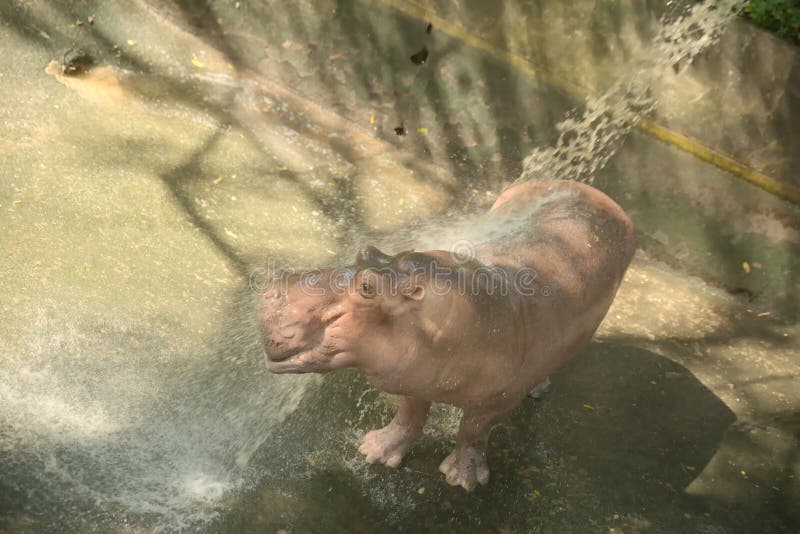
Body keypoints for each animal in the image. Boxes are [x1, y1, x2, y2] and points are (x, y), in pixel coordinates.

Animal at [258, 179, 636, 490]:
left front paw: (462, 479)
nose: (273, 288)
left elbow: (473, 430)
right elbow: (409, 416)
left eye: (367, 288)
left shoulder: (497, 400)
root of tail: (598, 193)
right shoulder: (410, 374)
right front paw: (374, 451)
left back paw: (538, 391)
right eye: (364, 250)